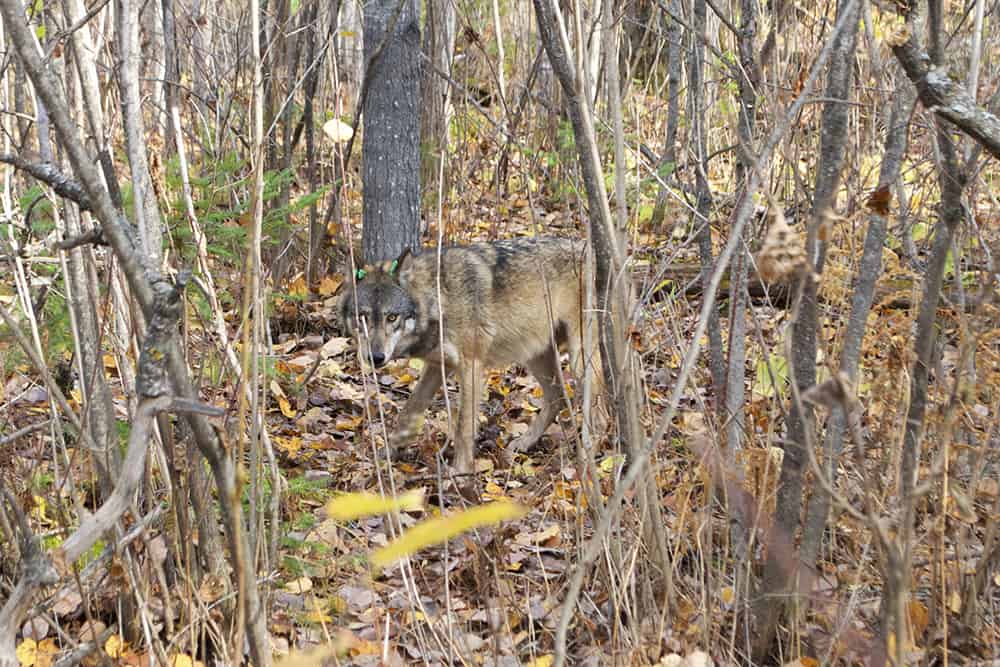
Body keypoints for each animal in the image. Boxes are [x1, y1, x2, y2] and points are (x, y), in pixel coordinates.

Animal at [339, 237, 596, 474]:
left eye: (391, 317)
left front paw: (460, 472)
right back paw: (525, 442)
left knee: (595, 408)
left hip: (579, 358)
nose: (375, 357)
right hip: (534, 353)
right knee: (558, 397)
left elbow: (463, 425)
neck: (439, 299)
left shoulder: (470, 365)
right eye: (362, 317)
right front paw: (389, 452)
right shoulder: (437, 365)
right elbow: (409, 411)